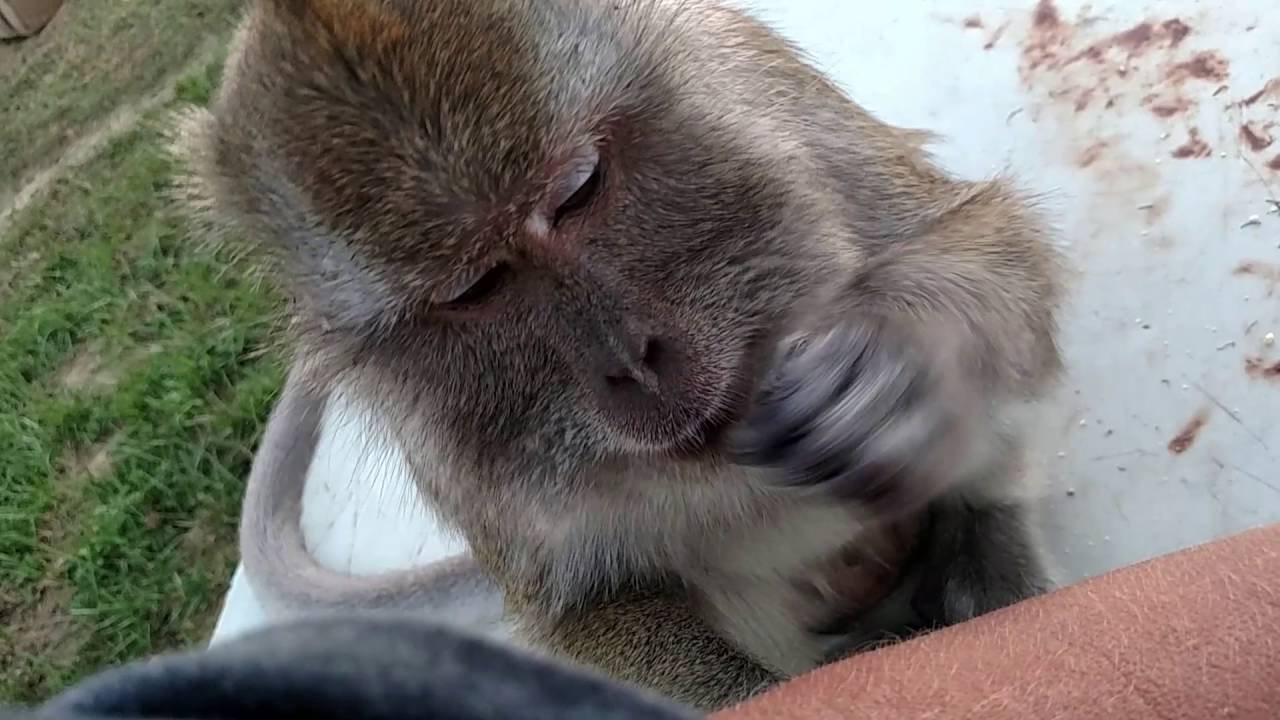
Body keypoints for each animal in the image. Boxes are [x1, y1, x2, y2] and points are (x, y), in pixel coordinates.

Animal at [171, 0, 1065, 711]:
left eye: (577, 191)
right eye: (476, 288)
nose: (630, 360)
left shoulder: (764, 100)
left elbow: (990, 242)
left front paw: (895, 367)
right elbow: (585, 609)